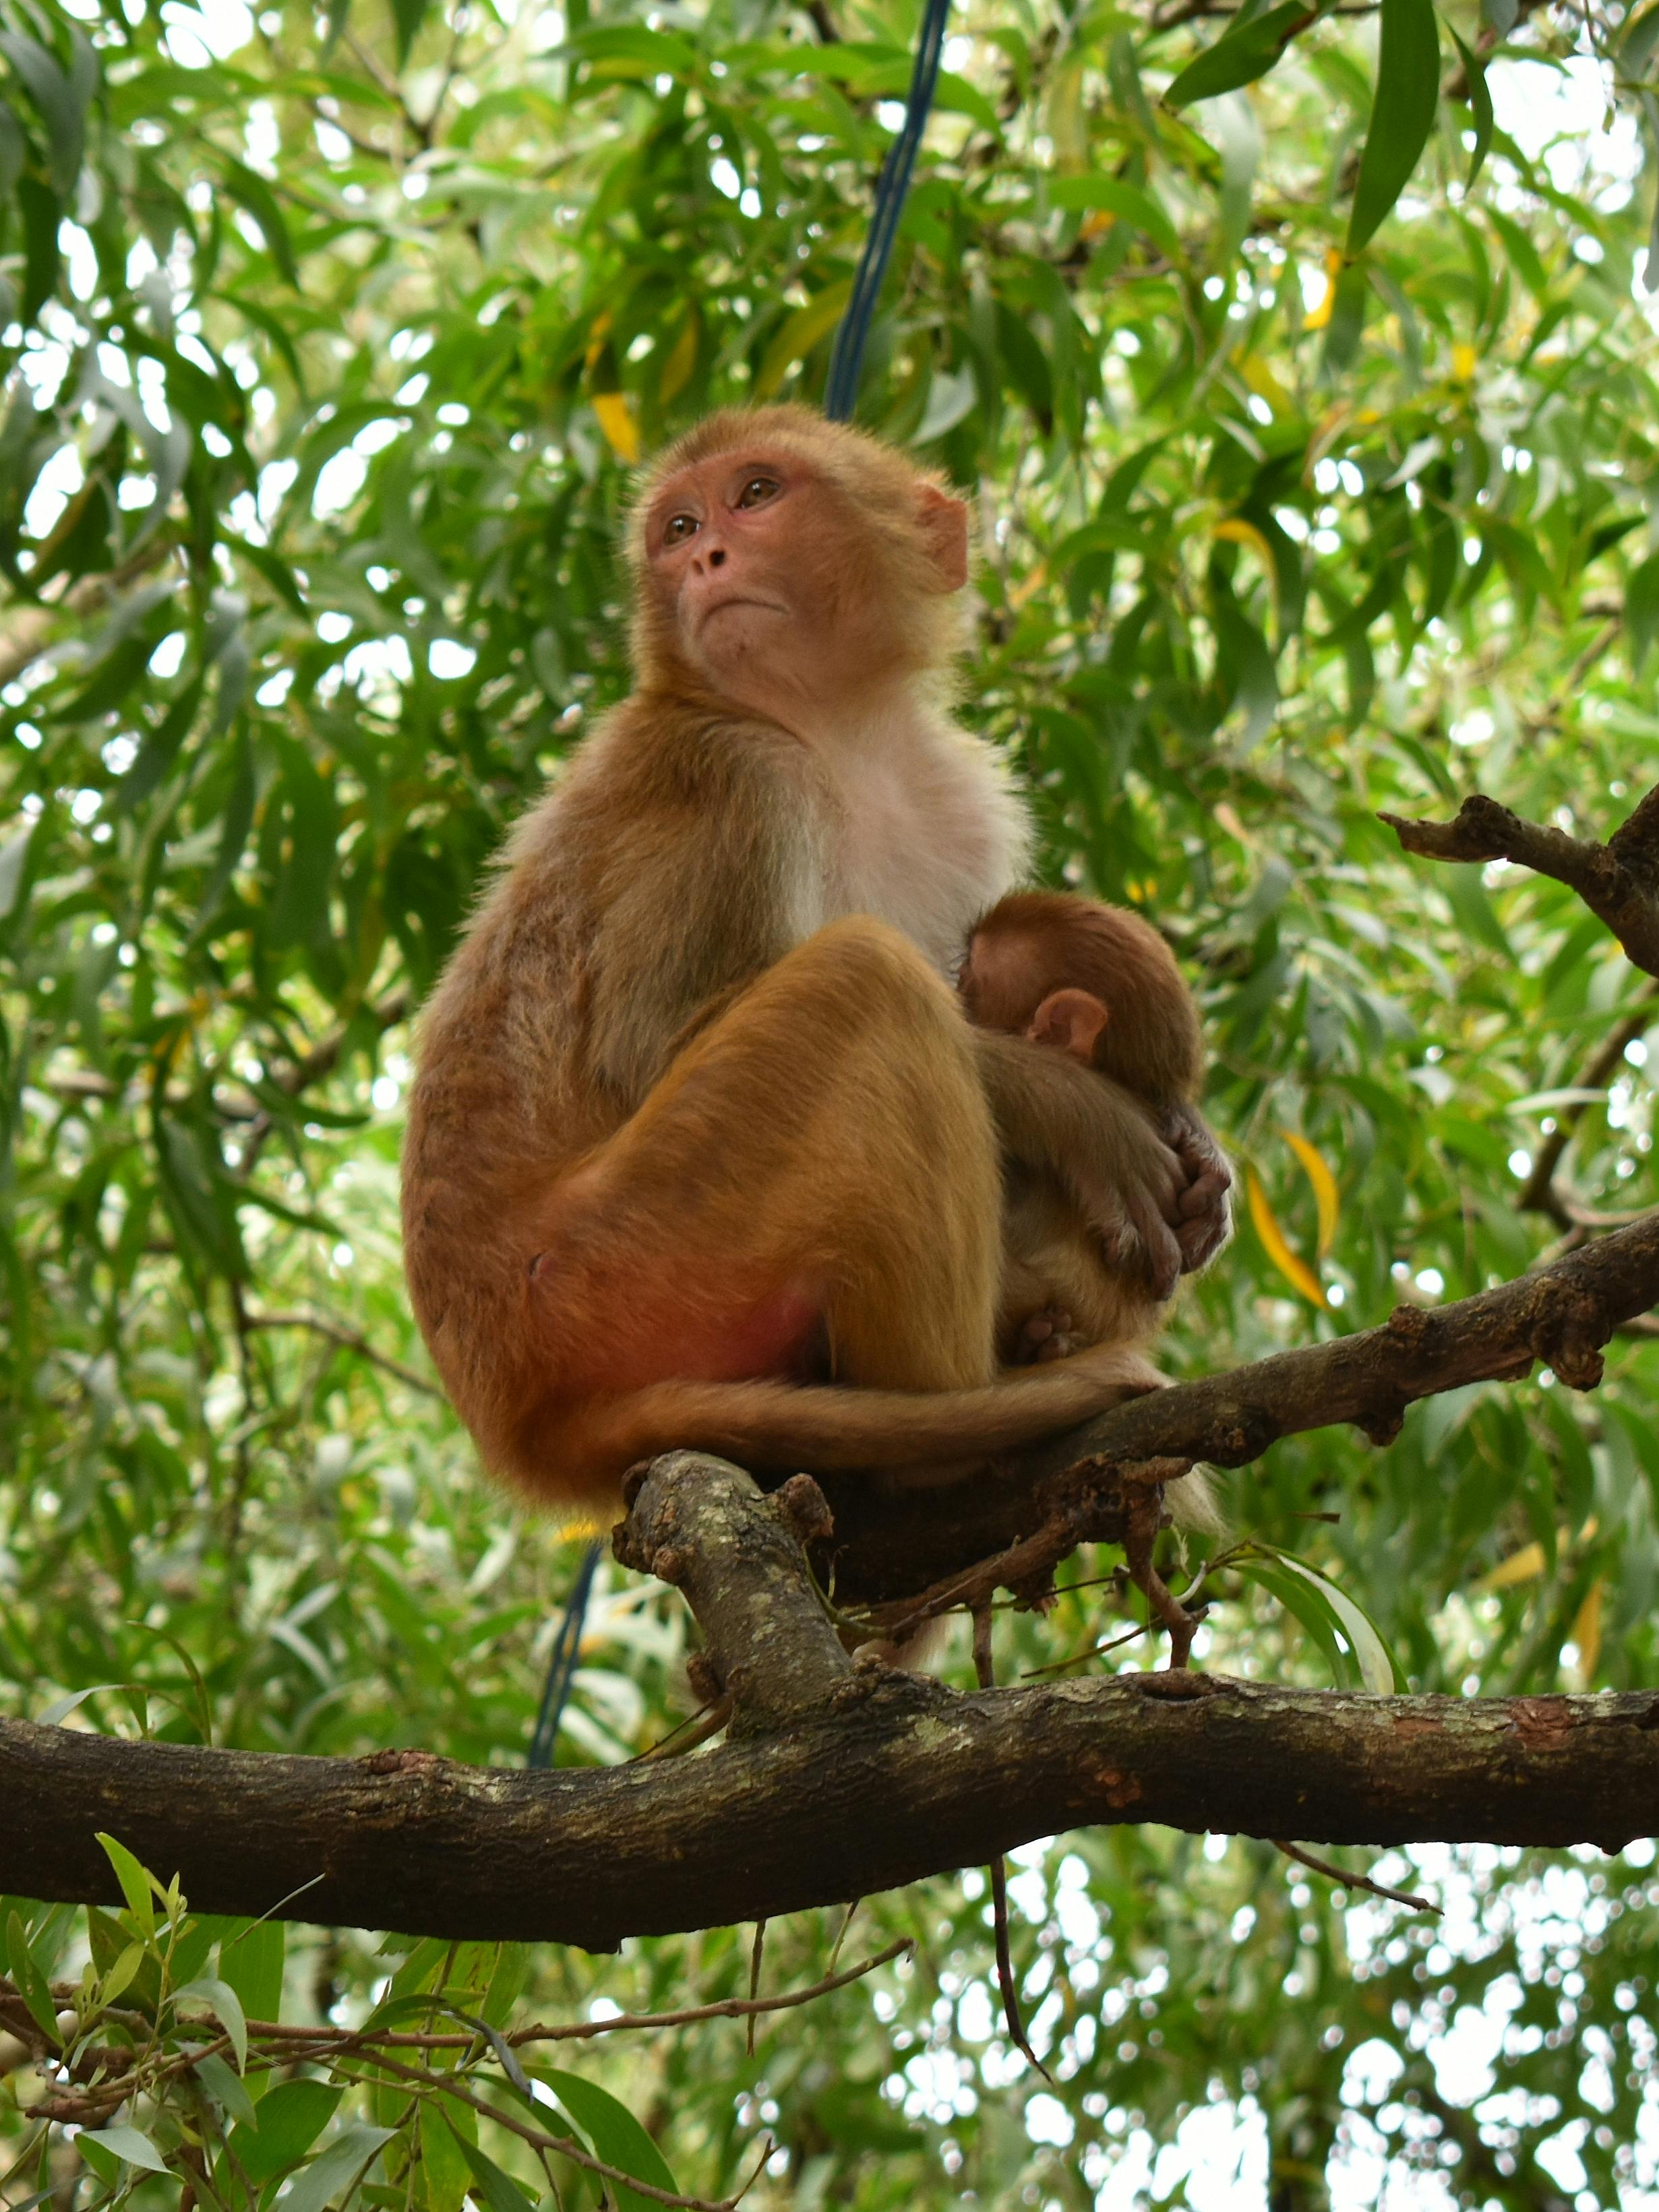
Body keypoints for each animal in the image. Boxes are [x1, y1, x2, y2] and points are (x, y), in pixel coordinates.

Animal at [401, 405, 1232, 1522]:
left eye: (755, 495)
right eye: (678, 525)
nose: (703, 556)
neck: (835, 732)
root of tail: (512, 1414)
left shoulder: (965, 798)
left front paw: (1190, 1135)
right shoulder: (731, 778)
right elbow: (653, 1047)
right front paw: (1078, 1107)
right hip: (609, 1266)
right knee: (866, 979)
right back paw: (954, 1422)